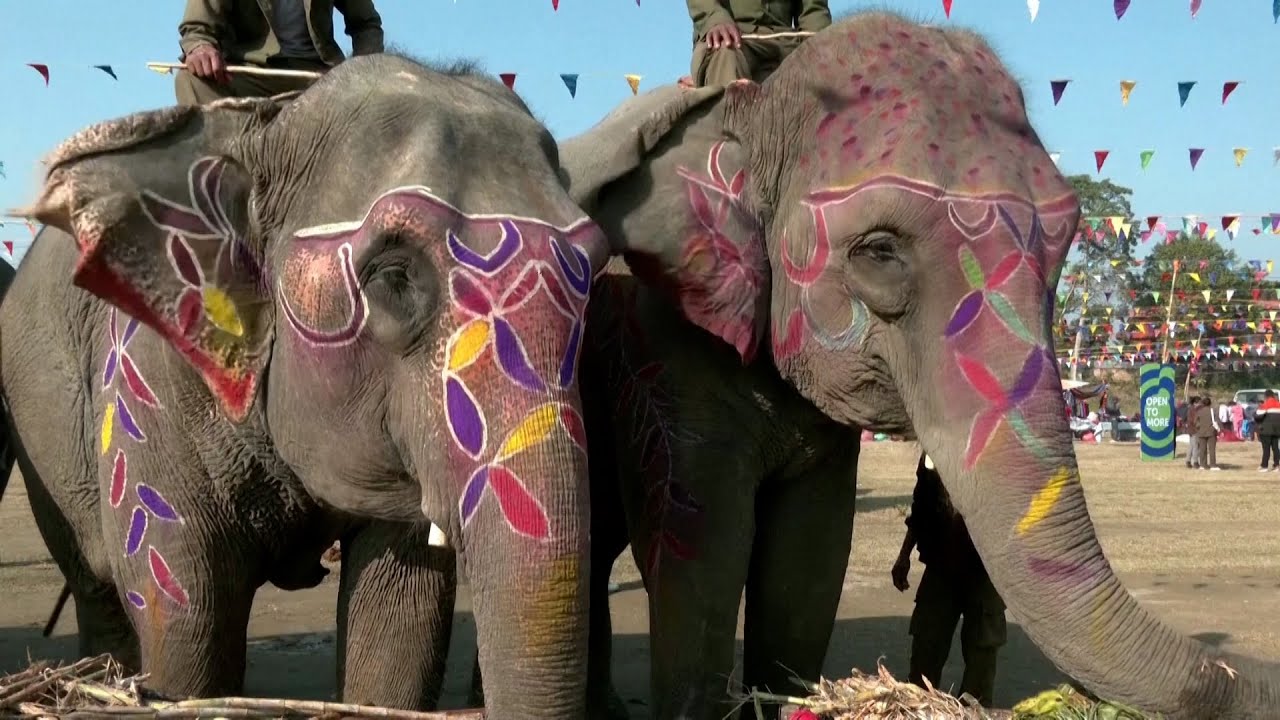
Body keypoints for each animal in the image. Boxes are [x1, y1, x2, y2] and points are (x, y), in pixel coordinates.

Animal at [1, 53, 609, 719]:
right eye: (393, 275)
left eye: (596, 269)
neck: (269, 128)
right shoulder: (146, 381)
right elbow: (185, 613)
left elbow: (401, 616)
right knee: (98, 586)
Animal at [551, 11, 1280, 720]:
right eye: (879, 252)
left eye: (1065, 240)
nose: (1248, 678)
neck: (756, 110)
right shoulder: (662, 345)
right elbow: (704, 551)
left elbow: (807, 560)